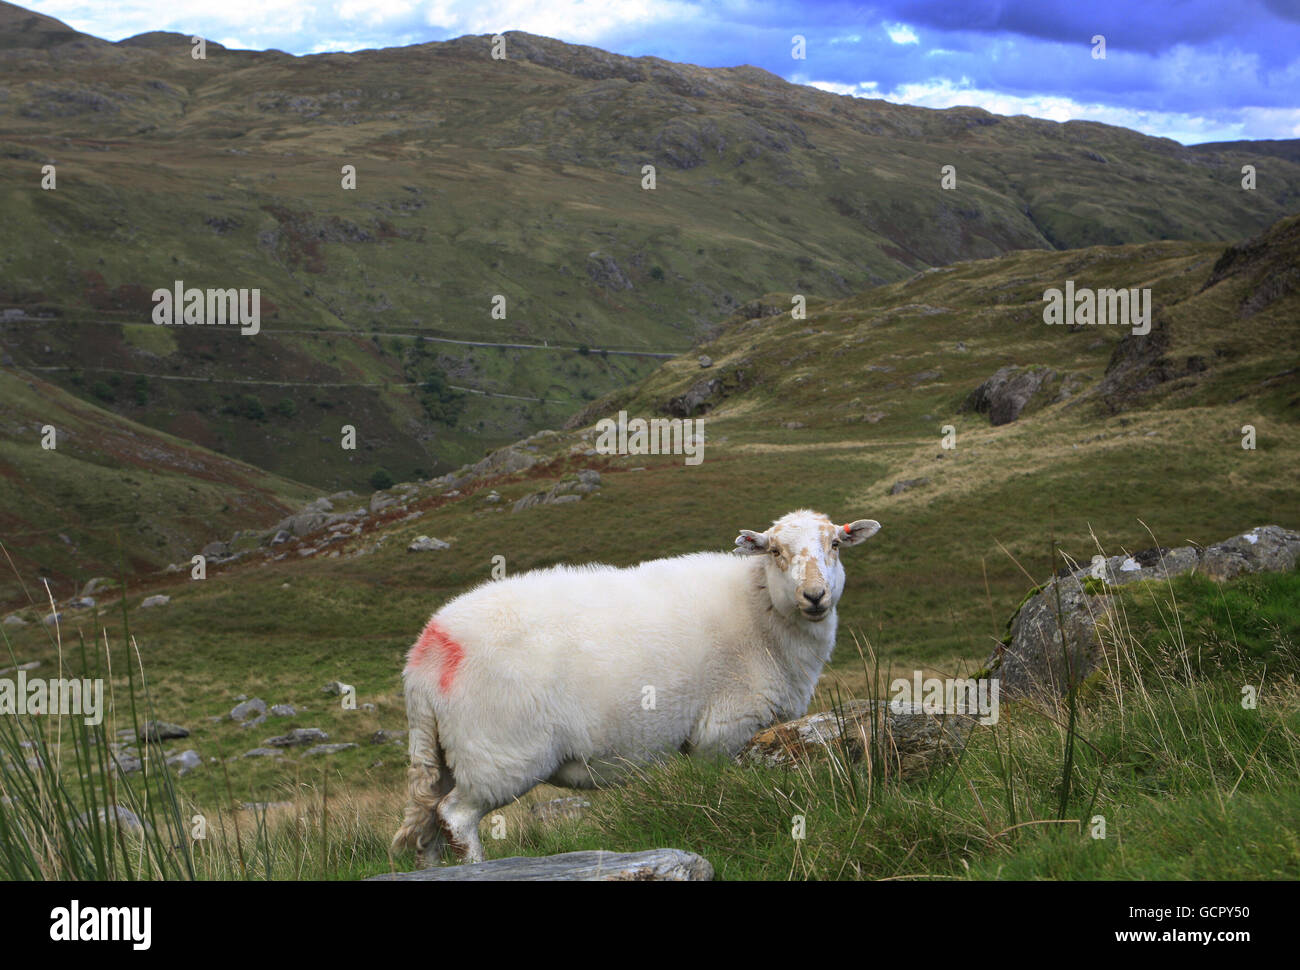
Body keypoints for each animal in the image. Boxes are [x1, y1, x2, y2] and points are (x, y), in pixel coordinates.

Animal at [391, 508, 881, 865]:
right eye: (776, 550)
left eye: (836, 544)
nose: (815, 596)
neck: (759, 611)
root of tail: (428, 653)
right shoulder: (723, 731)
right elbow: (719, 791)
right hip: (495, 753)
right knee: (455, 816)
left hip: (442, 750)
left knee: (427, 824)